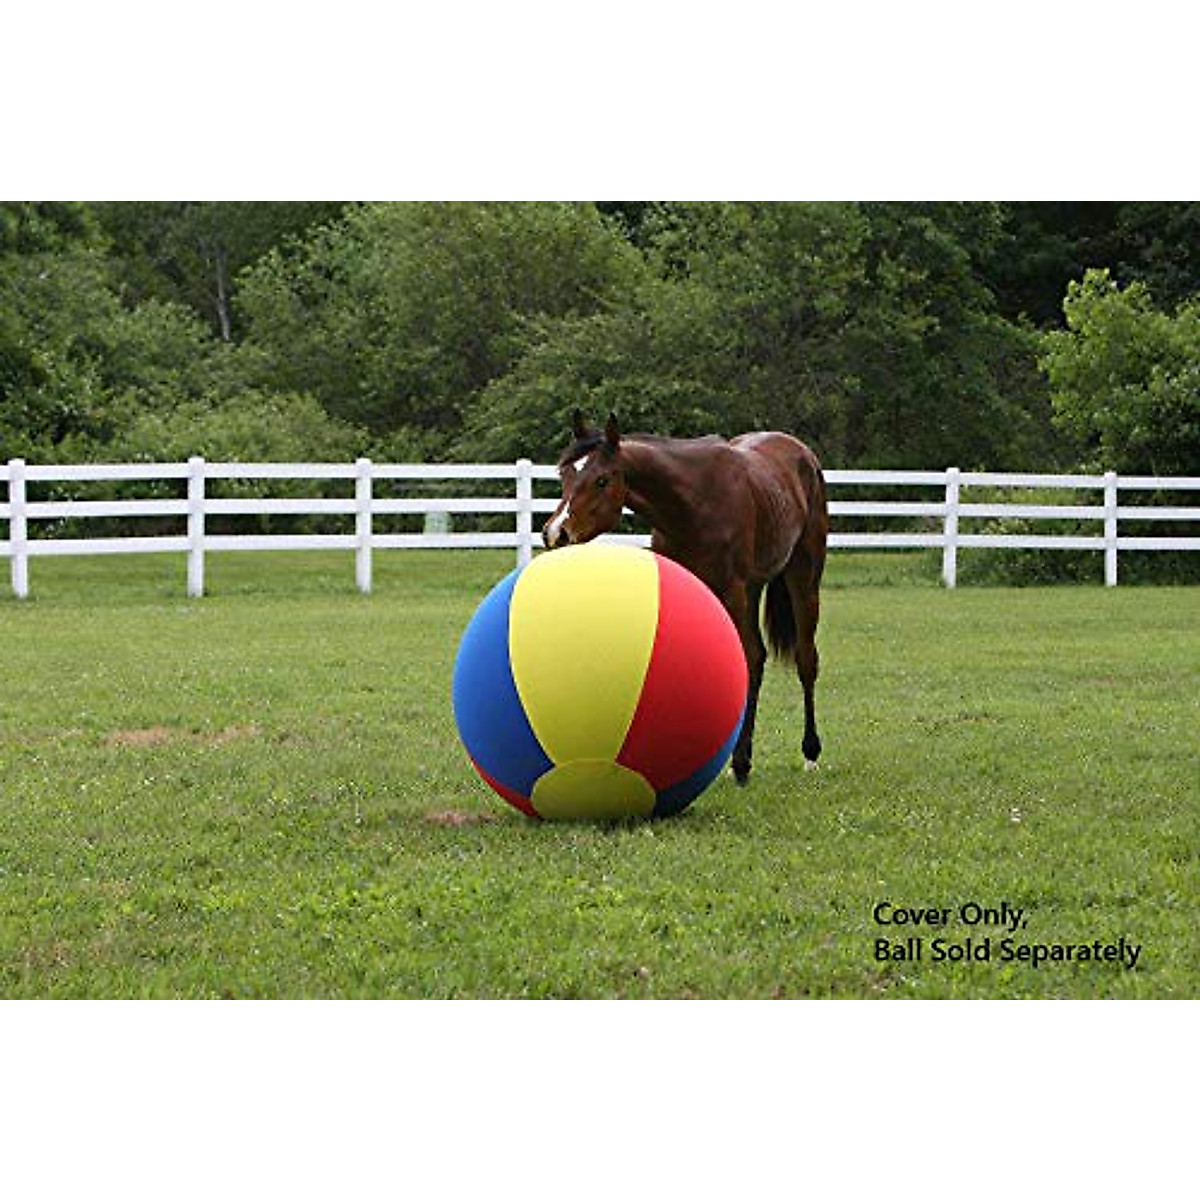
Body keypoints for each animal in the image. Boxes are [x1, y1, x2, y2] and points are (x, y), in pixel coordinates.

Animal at [543, 411, 828, 784]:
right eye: (564, 473)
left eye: (602, 480)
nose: (556, 533)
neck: (693, 502)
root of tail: (801, 453)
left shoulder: (733, 592)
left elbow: (743, 663)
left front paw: (736, 761)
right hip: (754, 589)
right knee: (761, 656)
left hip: (802, 579)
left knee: (800, 660)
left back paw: (806, 754)